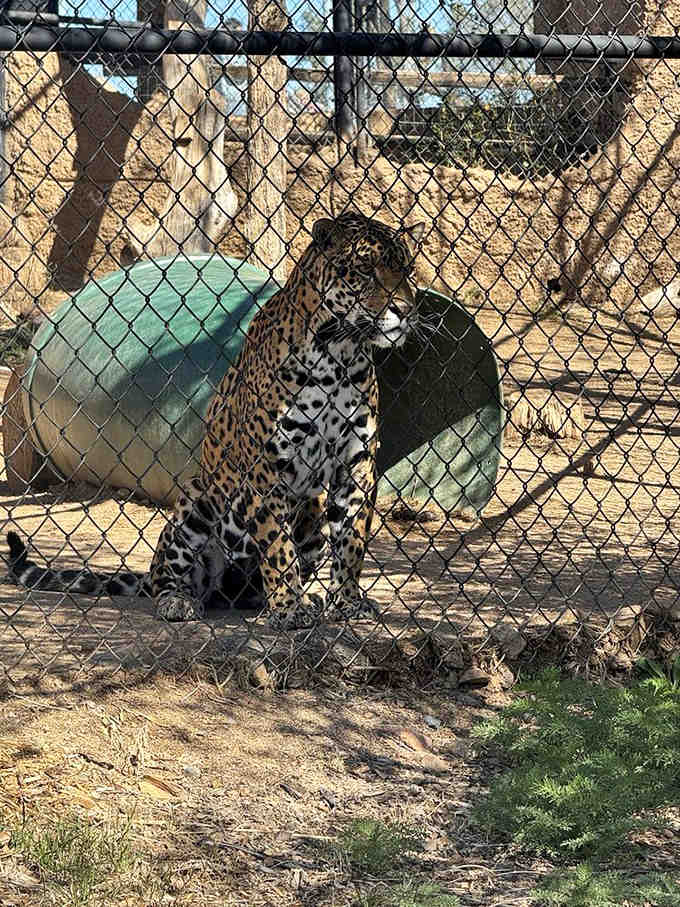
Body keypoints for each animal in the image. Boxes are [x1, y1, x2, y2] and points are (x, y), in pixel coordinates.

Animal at [5, 212, 426, 629]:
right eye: (366, 270)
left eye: (406, 270)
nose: (405, 309)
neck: (339, 354)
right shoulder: (265, 470)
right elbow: (278, 548)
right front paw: (290, 608)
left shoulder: (357, 464)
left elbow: (352, 541)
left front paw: (348, 601)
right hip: (195, 500)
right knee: (169, 579)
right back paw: (181, 601)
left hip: (310, 514)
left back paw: (294, 597)